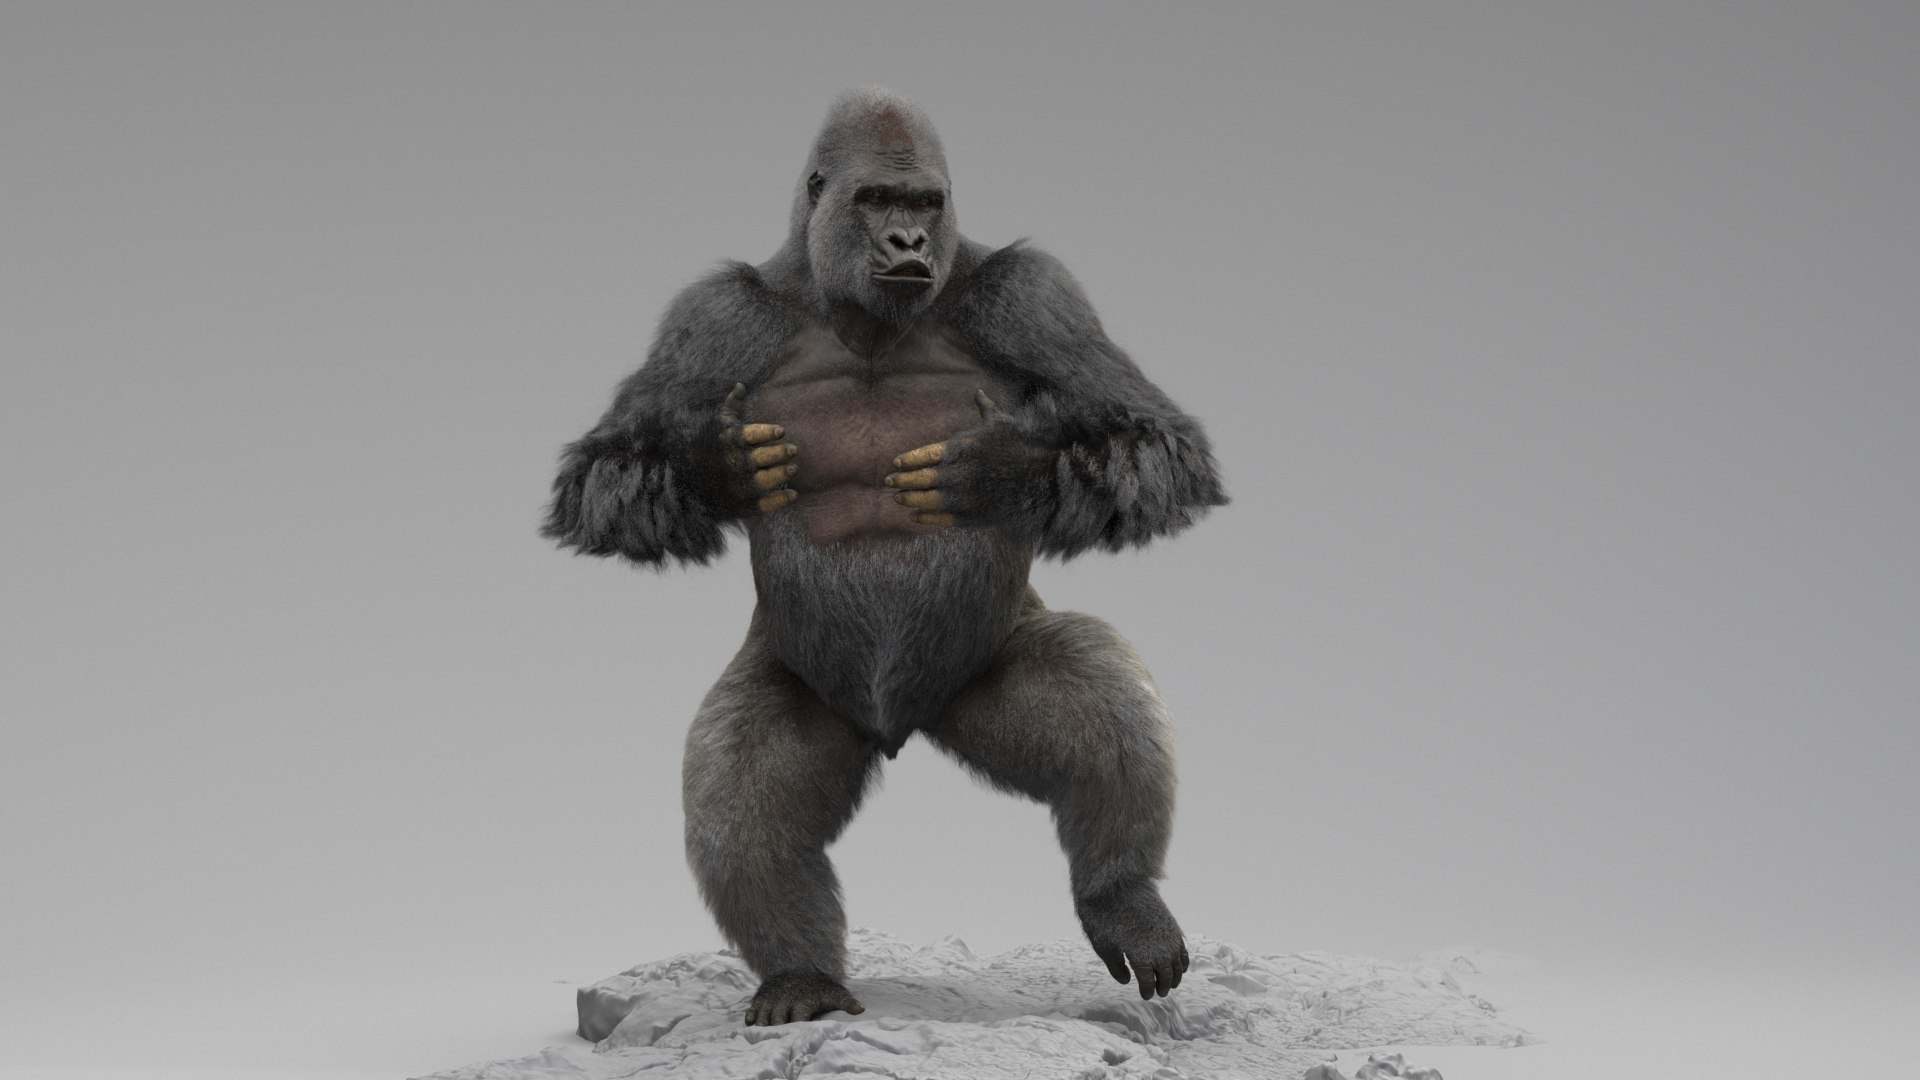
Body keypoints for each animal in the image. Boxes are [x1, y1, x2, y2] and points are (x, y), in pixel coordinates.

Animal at [543, 88, 1227, 1028]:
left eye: (925, 205)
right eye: (874, 201)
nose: (907, 244)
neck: (849, 307)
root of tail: (900, 727)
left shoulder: (1035, 295)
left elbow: (1154, 444)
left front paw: (1008, 469)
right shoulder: (710, 315)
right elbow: (603, 474)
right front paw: (707, 464)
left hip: (979, 673)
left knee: (1098, 688)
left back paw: (1123, 895)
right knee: (739, 794)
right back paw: (801, 978)